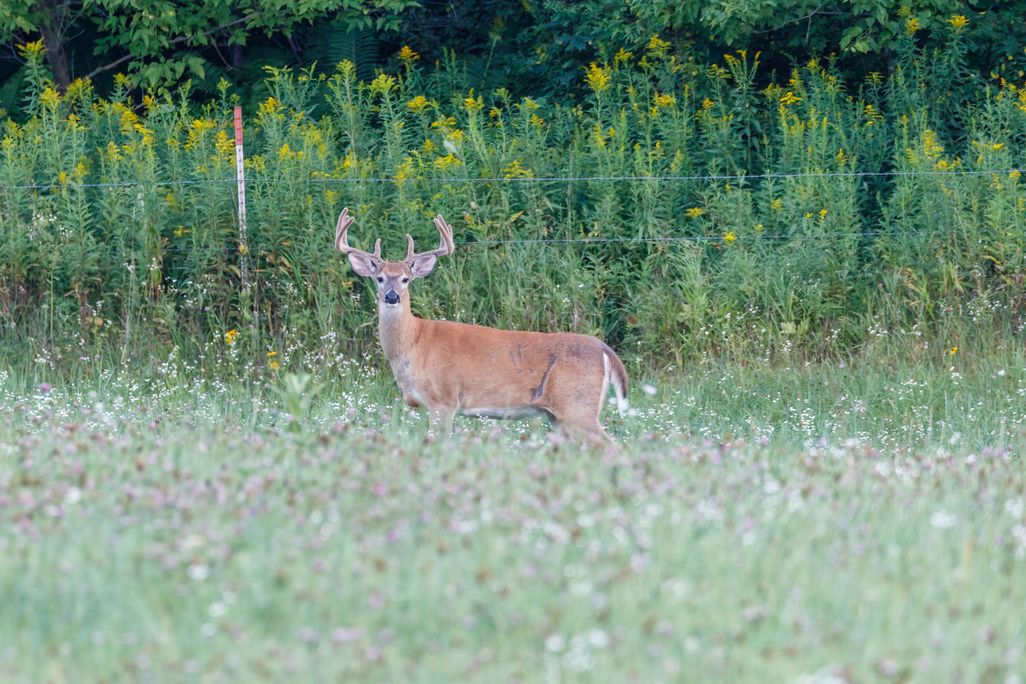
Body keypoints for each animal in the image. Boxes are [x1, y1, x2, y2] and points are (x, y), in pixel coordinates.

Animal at [334, 207, 629, 443]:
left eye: (406, 279)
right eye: (380, 278)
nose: (392, 296)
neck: (413, 344)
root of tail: (605, 351)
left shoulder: (444, 399)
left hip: (578, 405)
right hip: (558, 415)